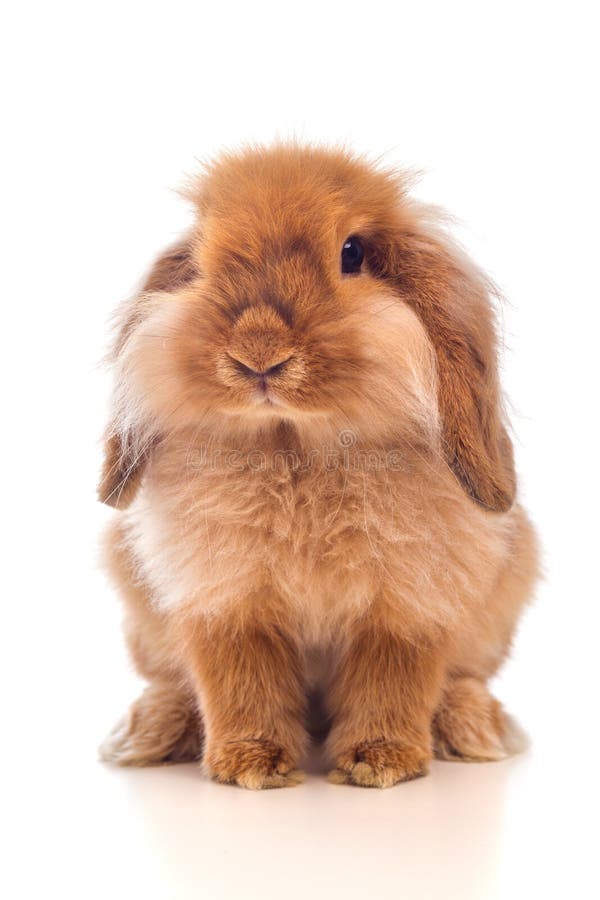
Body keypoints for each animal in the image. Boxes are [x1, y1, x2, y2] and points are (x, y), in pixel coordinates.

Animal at [98, 144, 539, 789]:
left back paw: (473, 727)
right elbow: (239, 682)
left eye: (351, 253)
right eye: (200, 257)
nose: (257, 350)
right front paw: (249, 767)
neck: (298, 448)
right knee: (172, 683)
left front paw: (379, 763)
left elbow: (393, 680)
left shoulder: (409, 606)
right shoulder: (224, 603)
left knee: (462, 679)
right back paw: (151, 731)